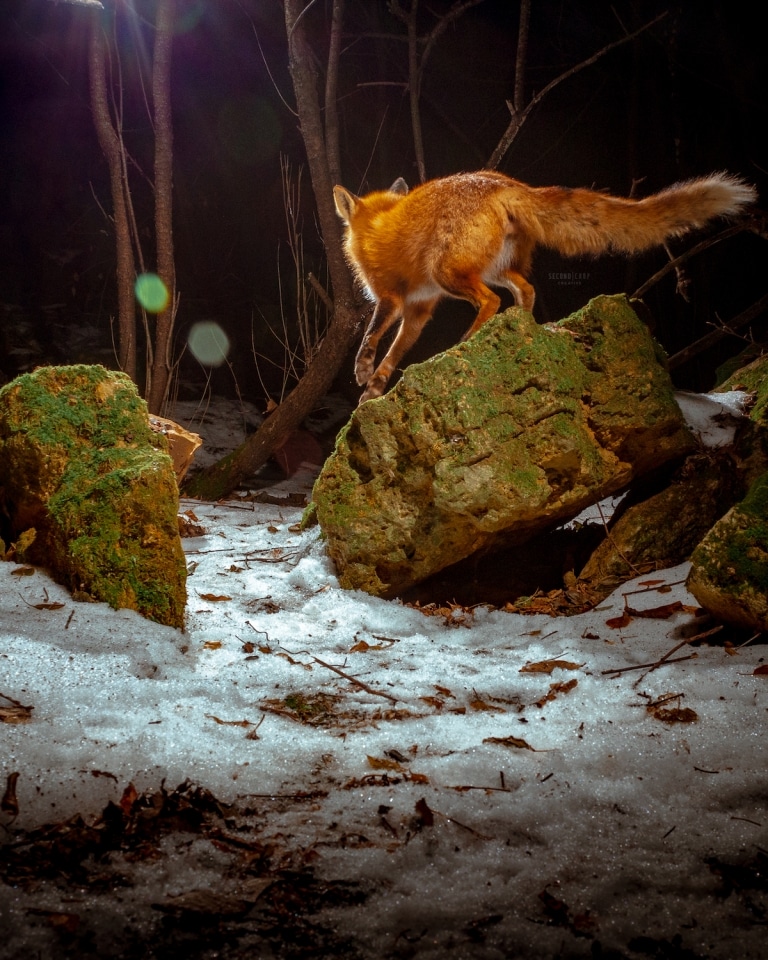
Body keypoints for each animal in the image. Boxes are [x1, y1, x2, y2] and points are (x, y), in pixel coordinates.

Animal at [333, 170, 756, 403]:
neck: (373, 229)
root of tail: (501, 182)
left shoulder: (392, 298)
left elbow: (371, 337)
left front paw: (362, 371)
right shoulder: (419, 308)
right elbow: (394, 353)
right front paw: (374, 390)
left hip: (449, 273)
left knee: (491, 301)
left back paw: (467, 341)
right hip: (495, 270)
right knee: (526, 292)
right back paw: (520, 331)